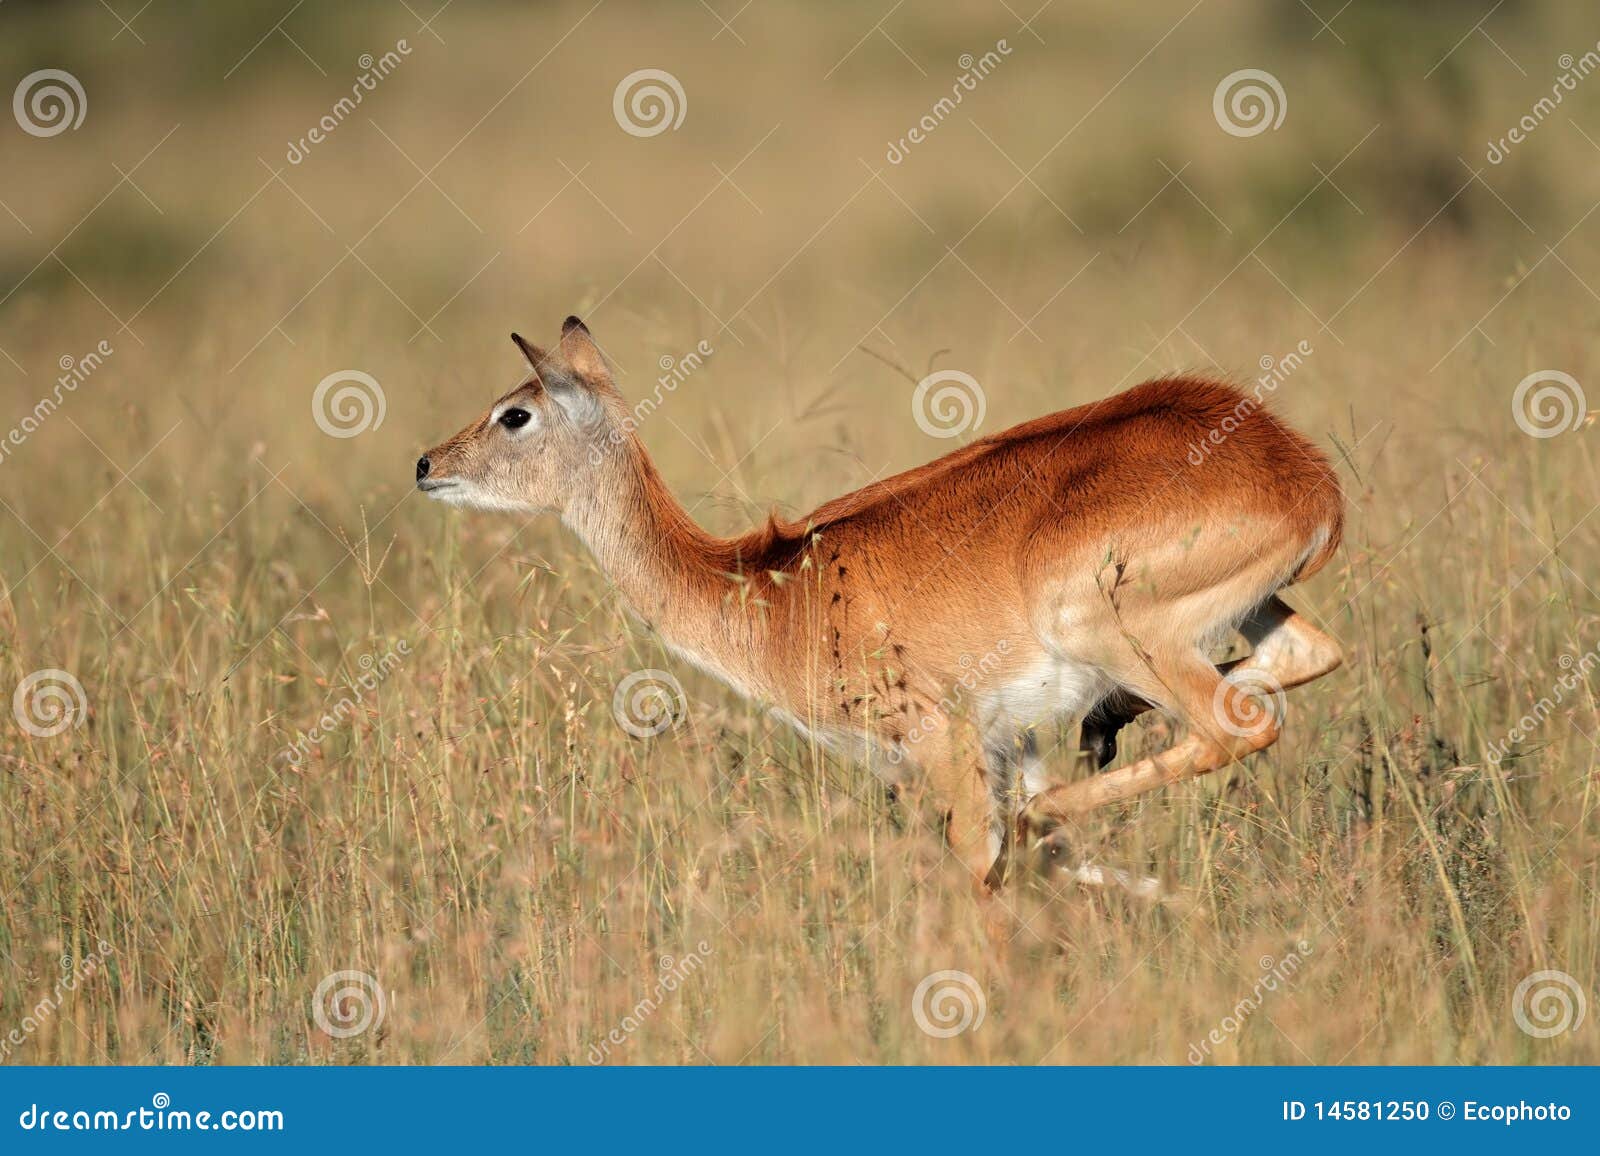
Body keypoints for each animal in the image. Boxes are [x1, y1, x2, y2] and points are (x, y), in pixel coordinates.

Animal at [416, 317, 1343, 893]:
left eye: (514, 412)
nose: (426, 464)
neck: (766, 589)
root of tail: (1307, 478)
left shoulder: (948, 744)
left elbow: (979, 864)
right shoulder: (1009, 745)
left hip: (1107, 626)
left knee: (1236, 725)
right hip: (1238, 612)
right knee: (1306, 658)